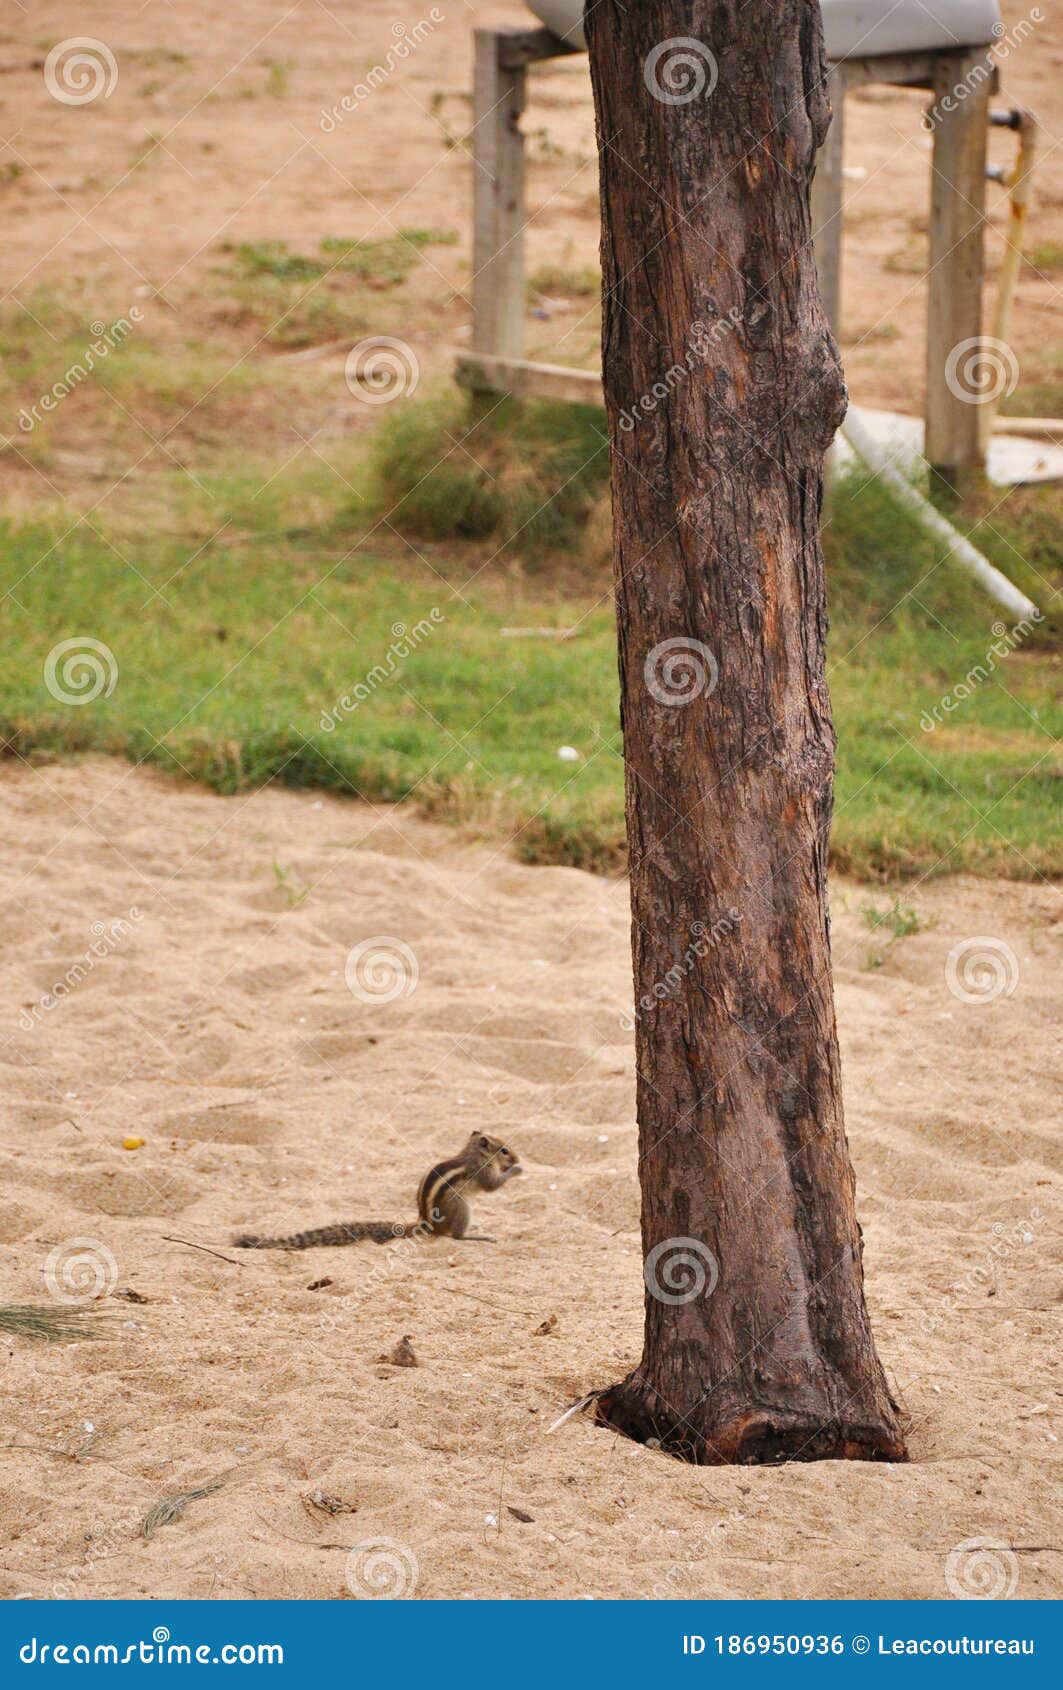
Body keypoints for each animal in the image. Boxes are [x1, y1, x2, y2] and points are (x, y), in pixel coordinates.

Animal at [233, 1133, 522, 1250]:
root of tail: (424, 1223)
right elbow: (492, 1186)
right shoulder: (481, 1171)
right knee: (456, 1237)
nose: (517, 1157)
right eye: (504, 1150)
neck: (473, 1153)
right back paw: (478, 1236)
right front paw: (516, 1170)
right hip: (461, 1206)